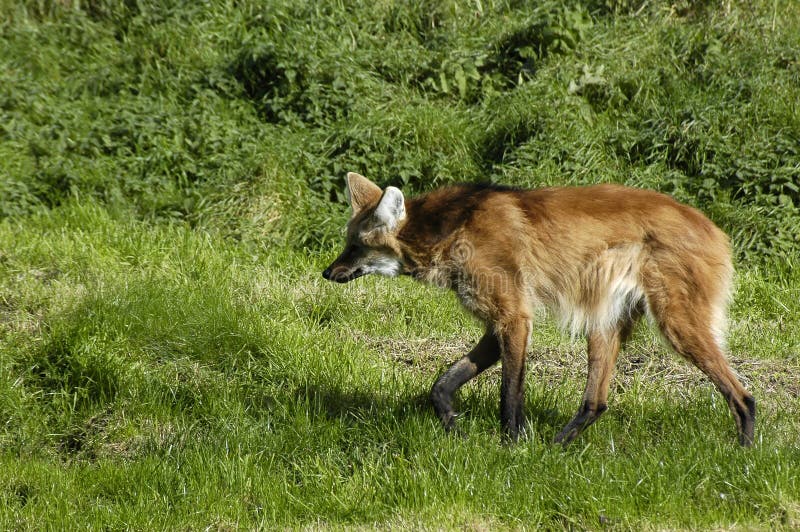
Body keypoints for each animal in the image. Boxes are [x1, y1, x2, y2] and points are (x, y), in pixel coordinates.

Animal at [322, 172, 755, 446]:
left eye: (355, 247)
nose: (327, 272)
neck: (452, 229)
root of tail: (716, 230)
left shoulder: (514, 317)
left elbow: (509, 394)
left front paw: (511, 447)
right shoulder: (498, 322)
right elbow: (442, 384)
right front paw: (454, 429)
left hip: (676, 323)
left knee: (743, 396)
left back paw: (744, 456)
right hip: (605, 318)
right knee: (595, 402)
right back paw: (555, 448)